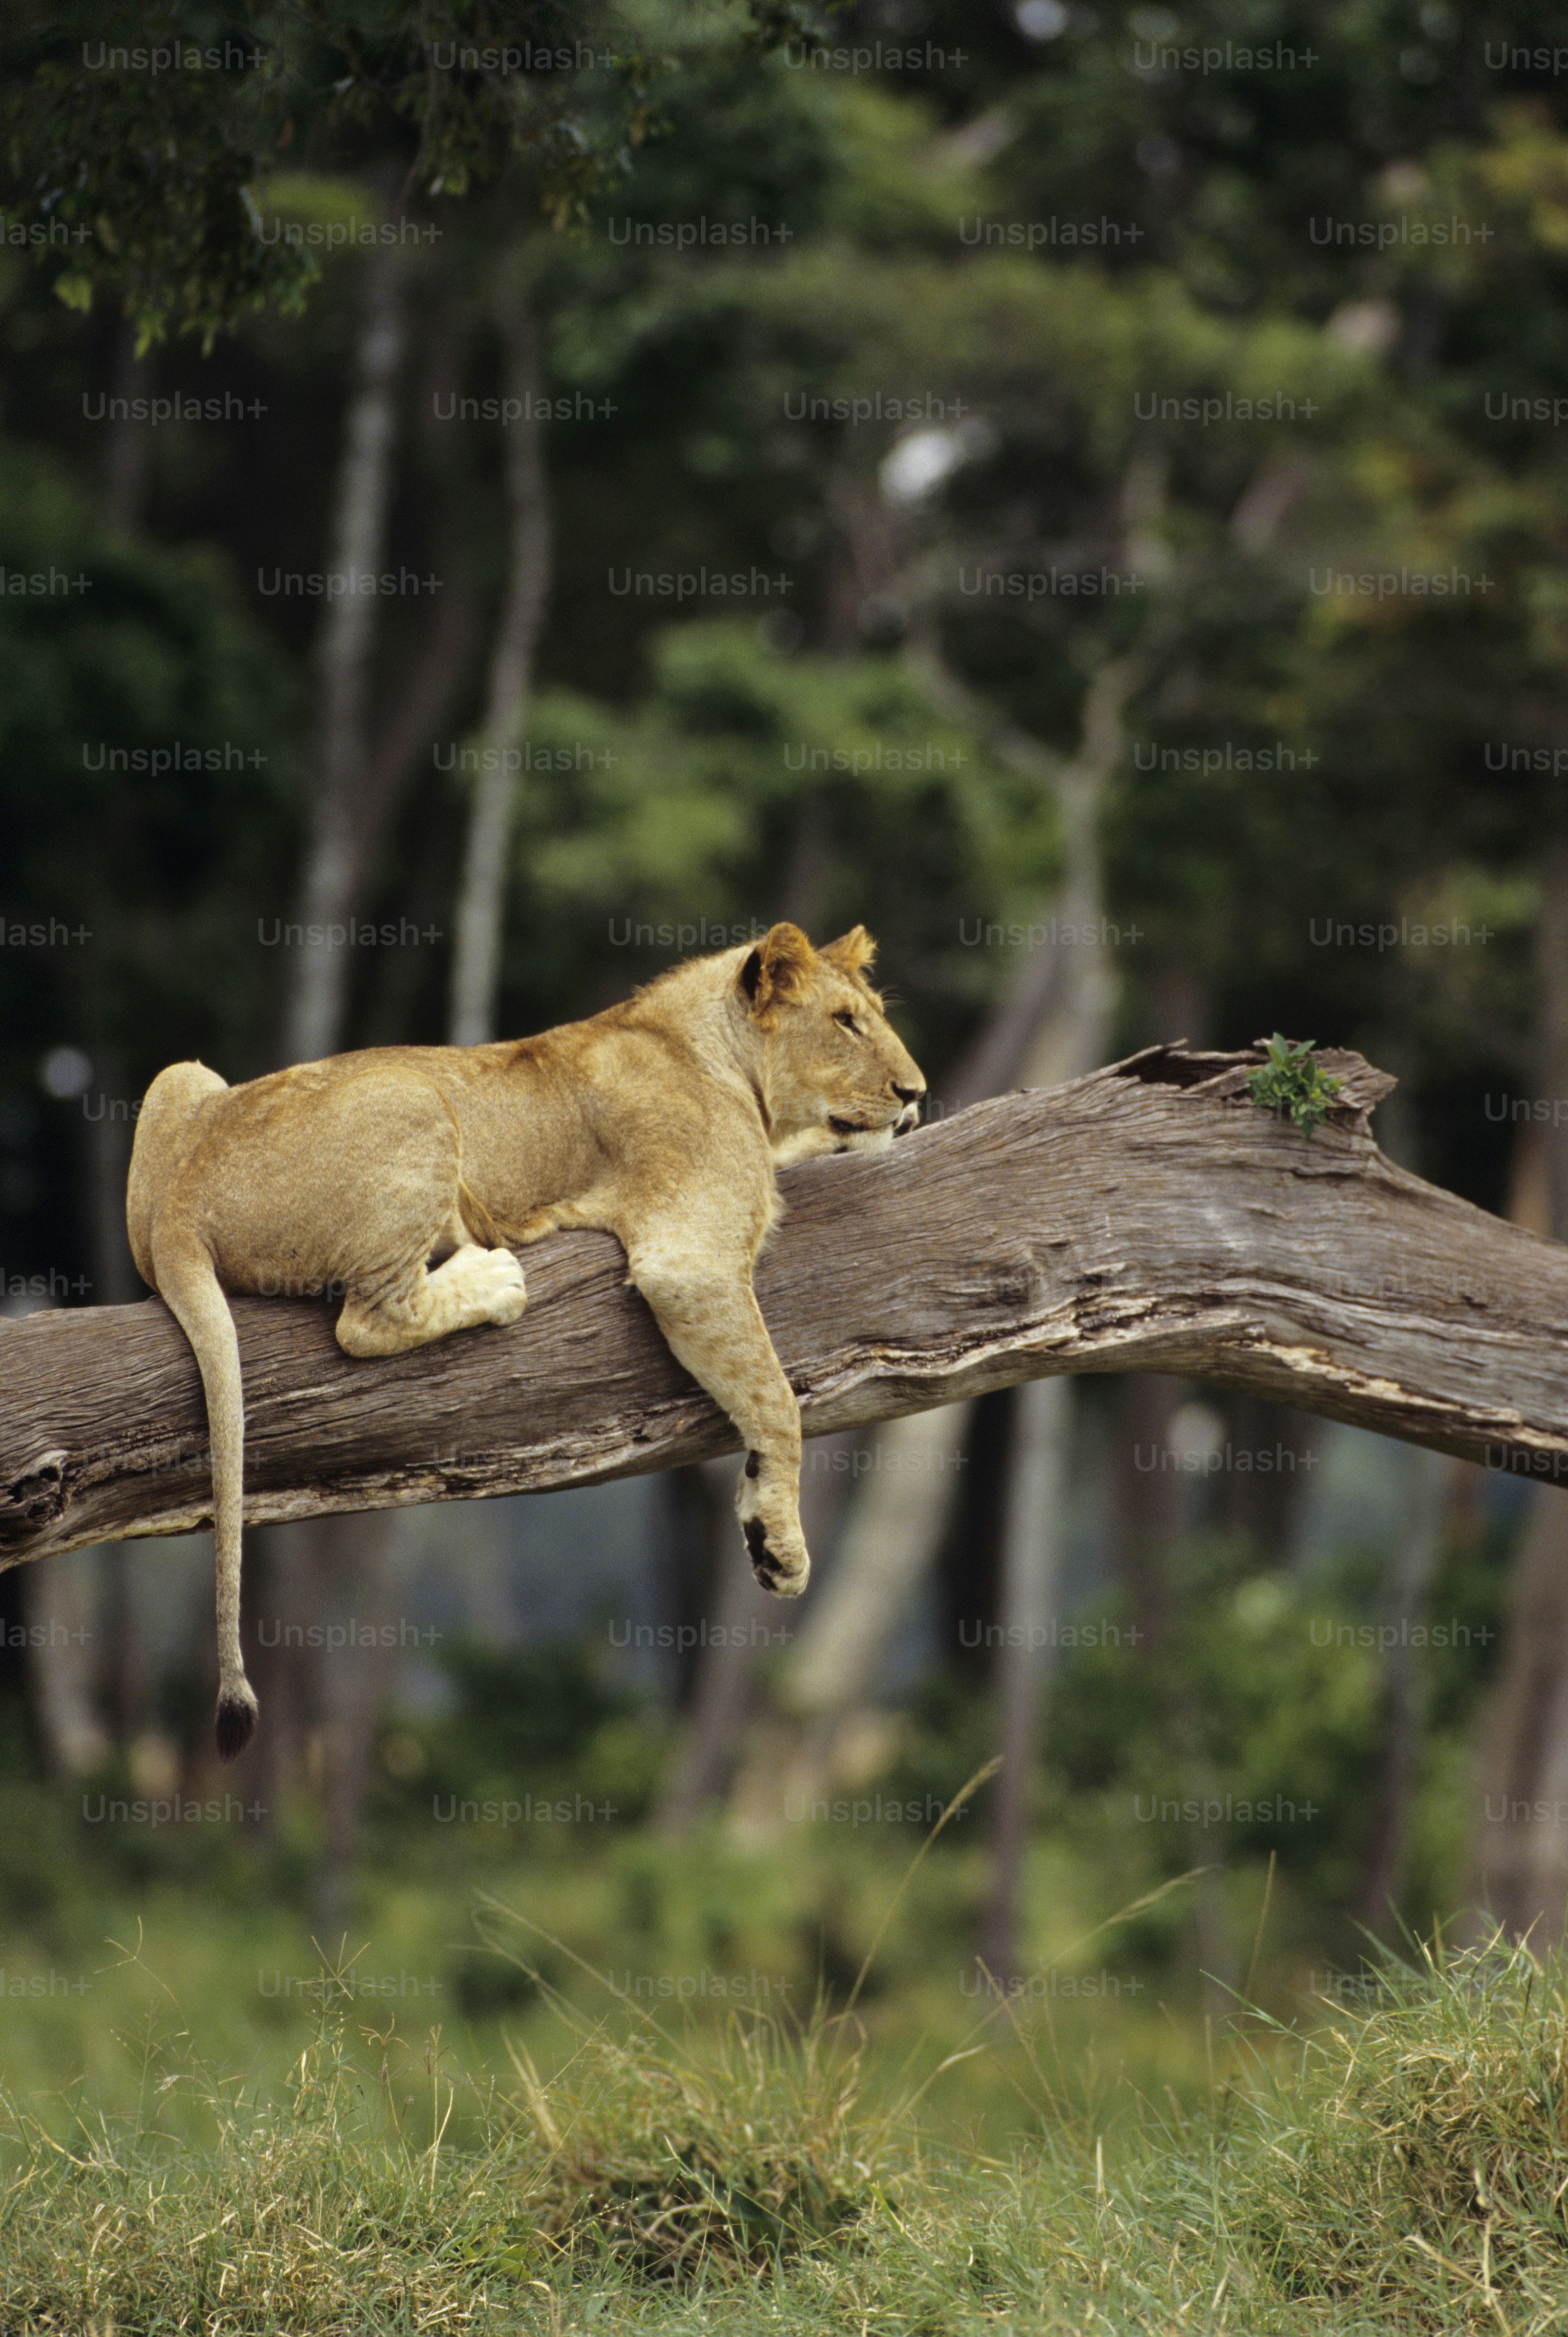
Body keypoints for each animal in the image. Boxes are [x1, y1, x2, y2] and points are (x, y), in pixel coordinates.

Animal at [126, 922, 925, 1757]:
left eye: (869, 1014)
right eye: (844, 1021)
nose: (916, 1093)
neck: (718, 1054)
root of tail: (176, 1206)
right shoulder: (689, 1257)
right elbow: (775, 1400)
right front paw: (779, 1545)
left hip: (183, 1075)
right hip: (413, 1093)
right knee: (366, 1319)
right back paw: (493, 1276)